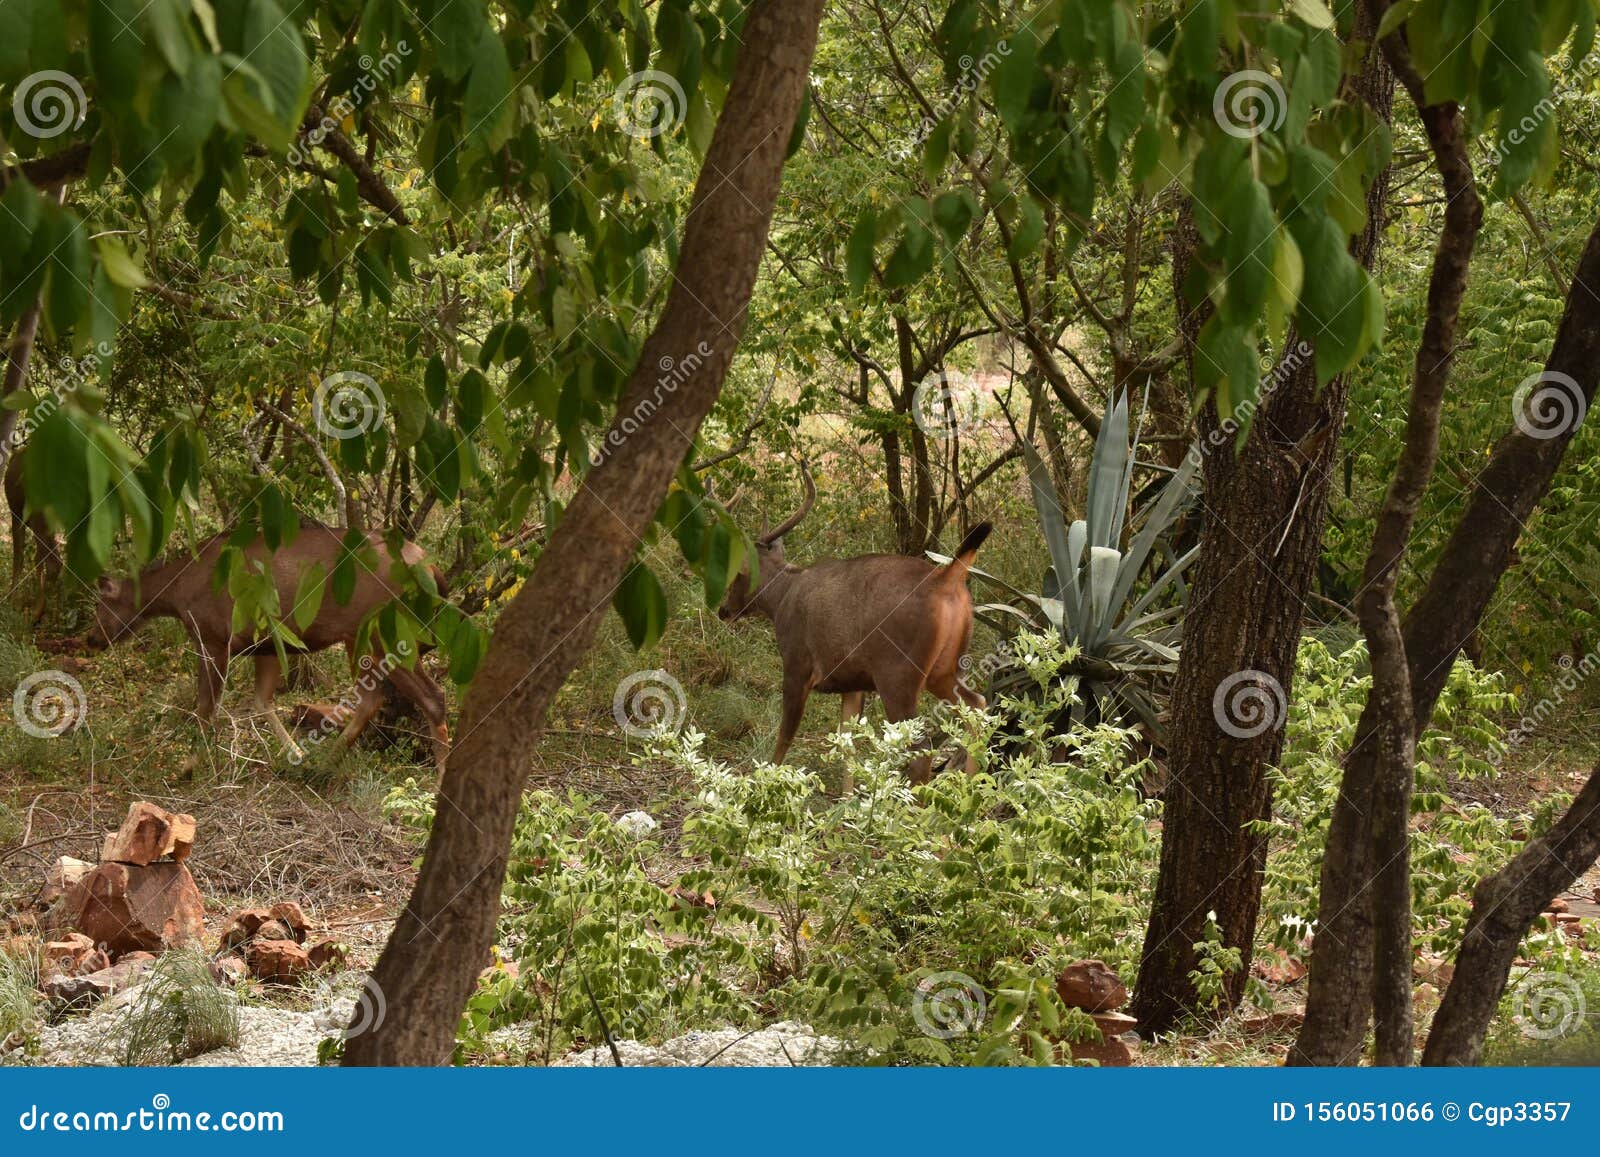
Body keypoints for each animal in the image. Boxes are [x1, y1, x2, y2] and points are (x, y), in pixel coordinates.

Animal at [85, 526, 450, 766]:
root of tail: (433, 569)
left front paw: (189, 767)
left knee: (431, 697)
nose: (90, 638)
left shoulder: (213, 637)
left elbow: (206, 707)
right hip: (358, 637)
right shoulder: (267, 645)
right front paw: (295, 753)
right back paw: (325, 764)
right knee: (372, 699)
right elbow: (261, 701)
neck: (178, 595)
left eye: (98, 605)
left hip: (385, 631)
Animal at [718, 463, 992, 786]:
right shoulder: (852, 682)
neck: (782, 598)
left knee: (922, 749)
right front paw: (846, 798)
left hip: (898, 675)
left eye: (737, 572)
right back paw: (973, 790)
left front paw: (765, 782)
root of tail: (947, 579)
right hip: (945, 668)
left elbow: (785, 737)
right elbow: (847, 747)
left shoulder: (798, 664)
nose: (723, 610)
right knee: (977, 706)